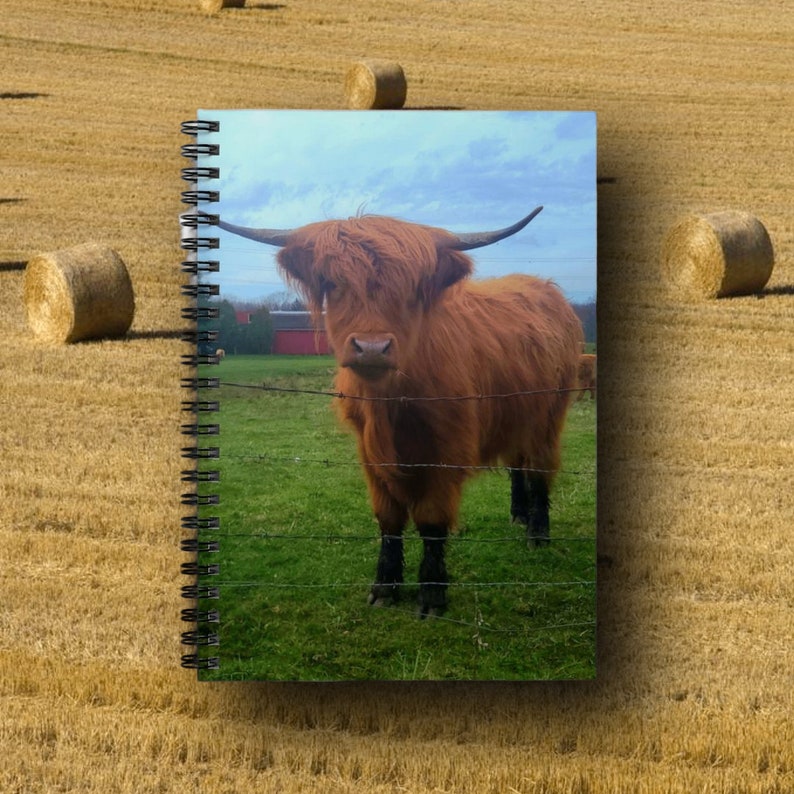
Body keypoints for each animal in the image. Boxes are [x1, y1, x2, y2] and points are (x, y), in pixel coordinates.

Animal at [218, 208, 583, 616]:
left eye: (413, 288)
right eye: (333, 282)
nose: (372, 348)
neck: (391, 405)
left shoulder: (448, 450)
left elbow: (431, 519)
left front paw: (433, 594)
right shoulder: (368, 451)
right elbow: (388, 518)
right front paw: (385, 586)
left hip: (550, 414)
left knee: (540, 467)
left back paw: (537, 531)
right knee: (517, 462)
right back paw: (518, 513)